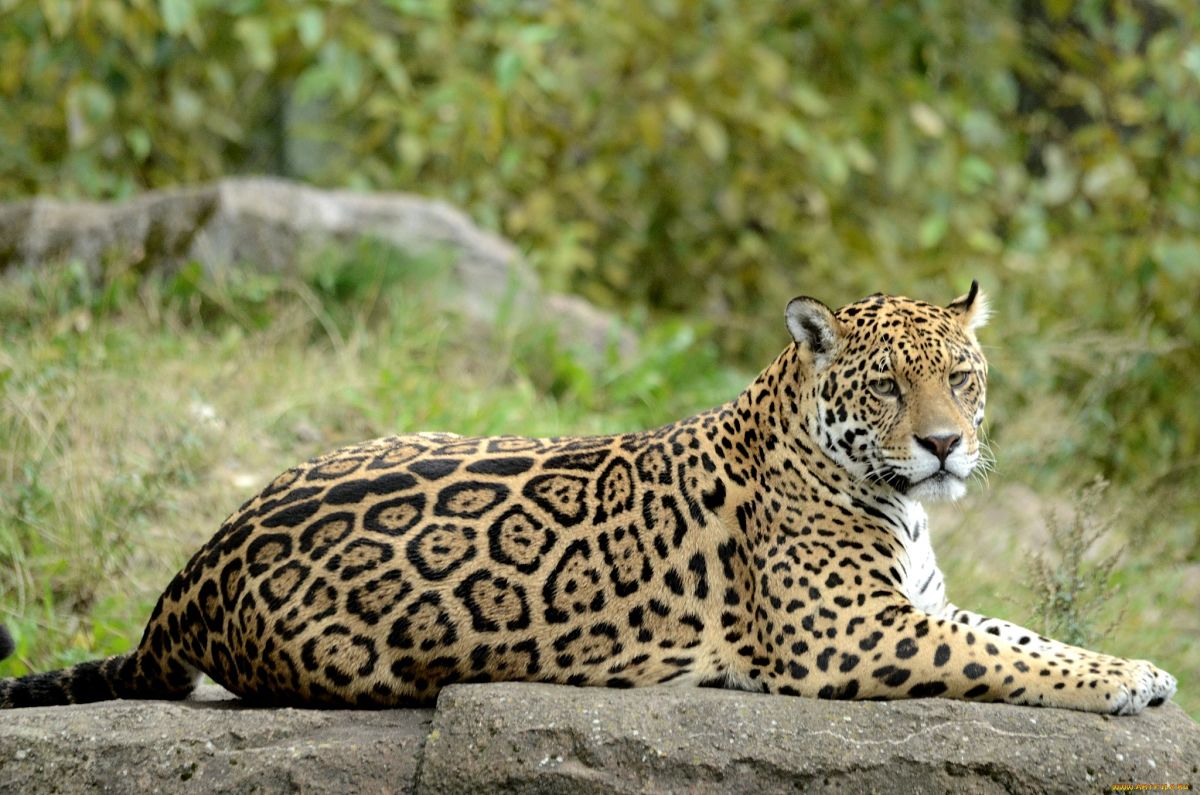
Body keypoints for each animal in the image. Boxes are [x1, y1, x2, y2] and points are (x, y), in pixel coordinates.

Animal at [0, 282, 1178, 714]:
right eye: (888, 384)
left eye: (963, 378)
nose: (944, 445)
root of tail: (186, 582)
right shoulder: (850, 634)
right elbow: (1009, 657)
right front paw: (1127, 679)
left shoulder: (914, 606)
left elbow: (1018, 631)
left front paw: (1142, 664)